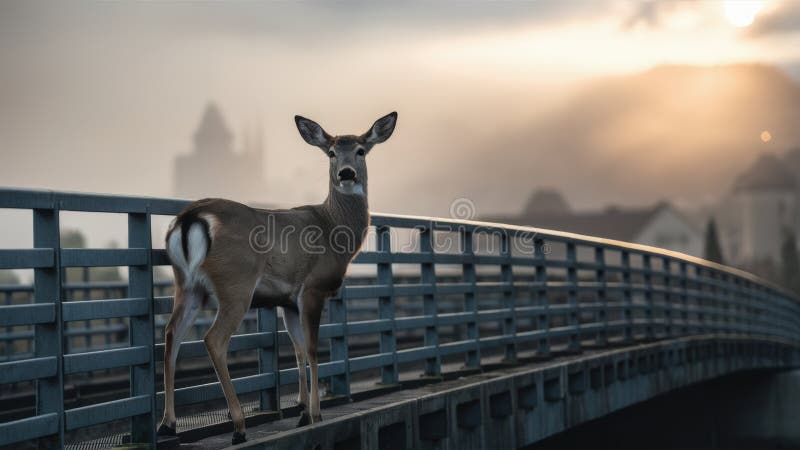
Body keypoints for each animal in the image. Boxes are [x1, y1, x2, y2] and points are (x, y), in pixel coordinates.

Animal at [156, 112, 398, 445]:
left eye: (361, 150)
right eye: (331, 153)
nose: (347, 173)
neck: (332, 229)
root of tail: (190, 218)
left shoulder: (288, 301)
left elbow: (296, 350)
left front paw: (302, 412)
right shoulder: (312, 289)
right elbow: (313, 349)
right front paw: (316, 414)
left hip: (187, 283)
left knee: (171, 334)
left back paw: (167, 424)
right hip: (236, 284)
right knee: (213, 339)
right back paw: (239, 427)